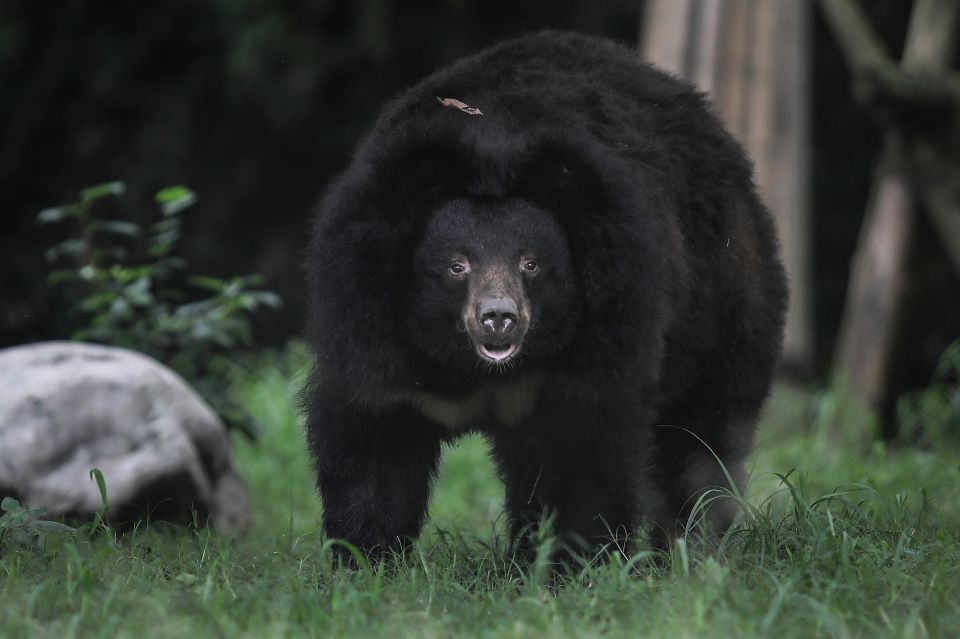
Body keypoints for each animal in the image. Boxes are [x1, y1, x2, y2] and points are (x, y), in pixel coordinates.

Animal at [304, 31, 788, 561]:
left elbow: (584, 451)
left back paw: (690, 548)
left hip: (723, 304)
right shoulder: (369, 312)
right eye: (457, 265)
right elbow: (373, 437)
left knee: (703, 438)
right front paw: (365, 558)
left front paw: (574, 561)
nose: (498, 318)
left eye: (530, 263)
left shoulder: (611, 318)